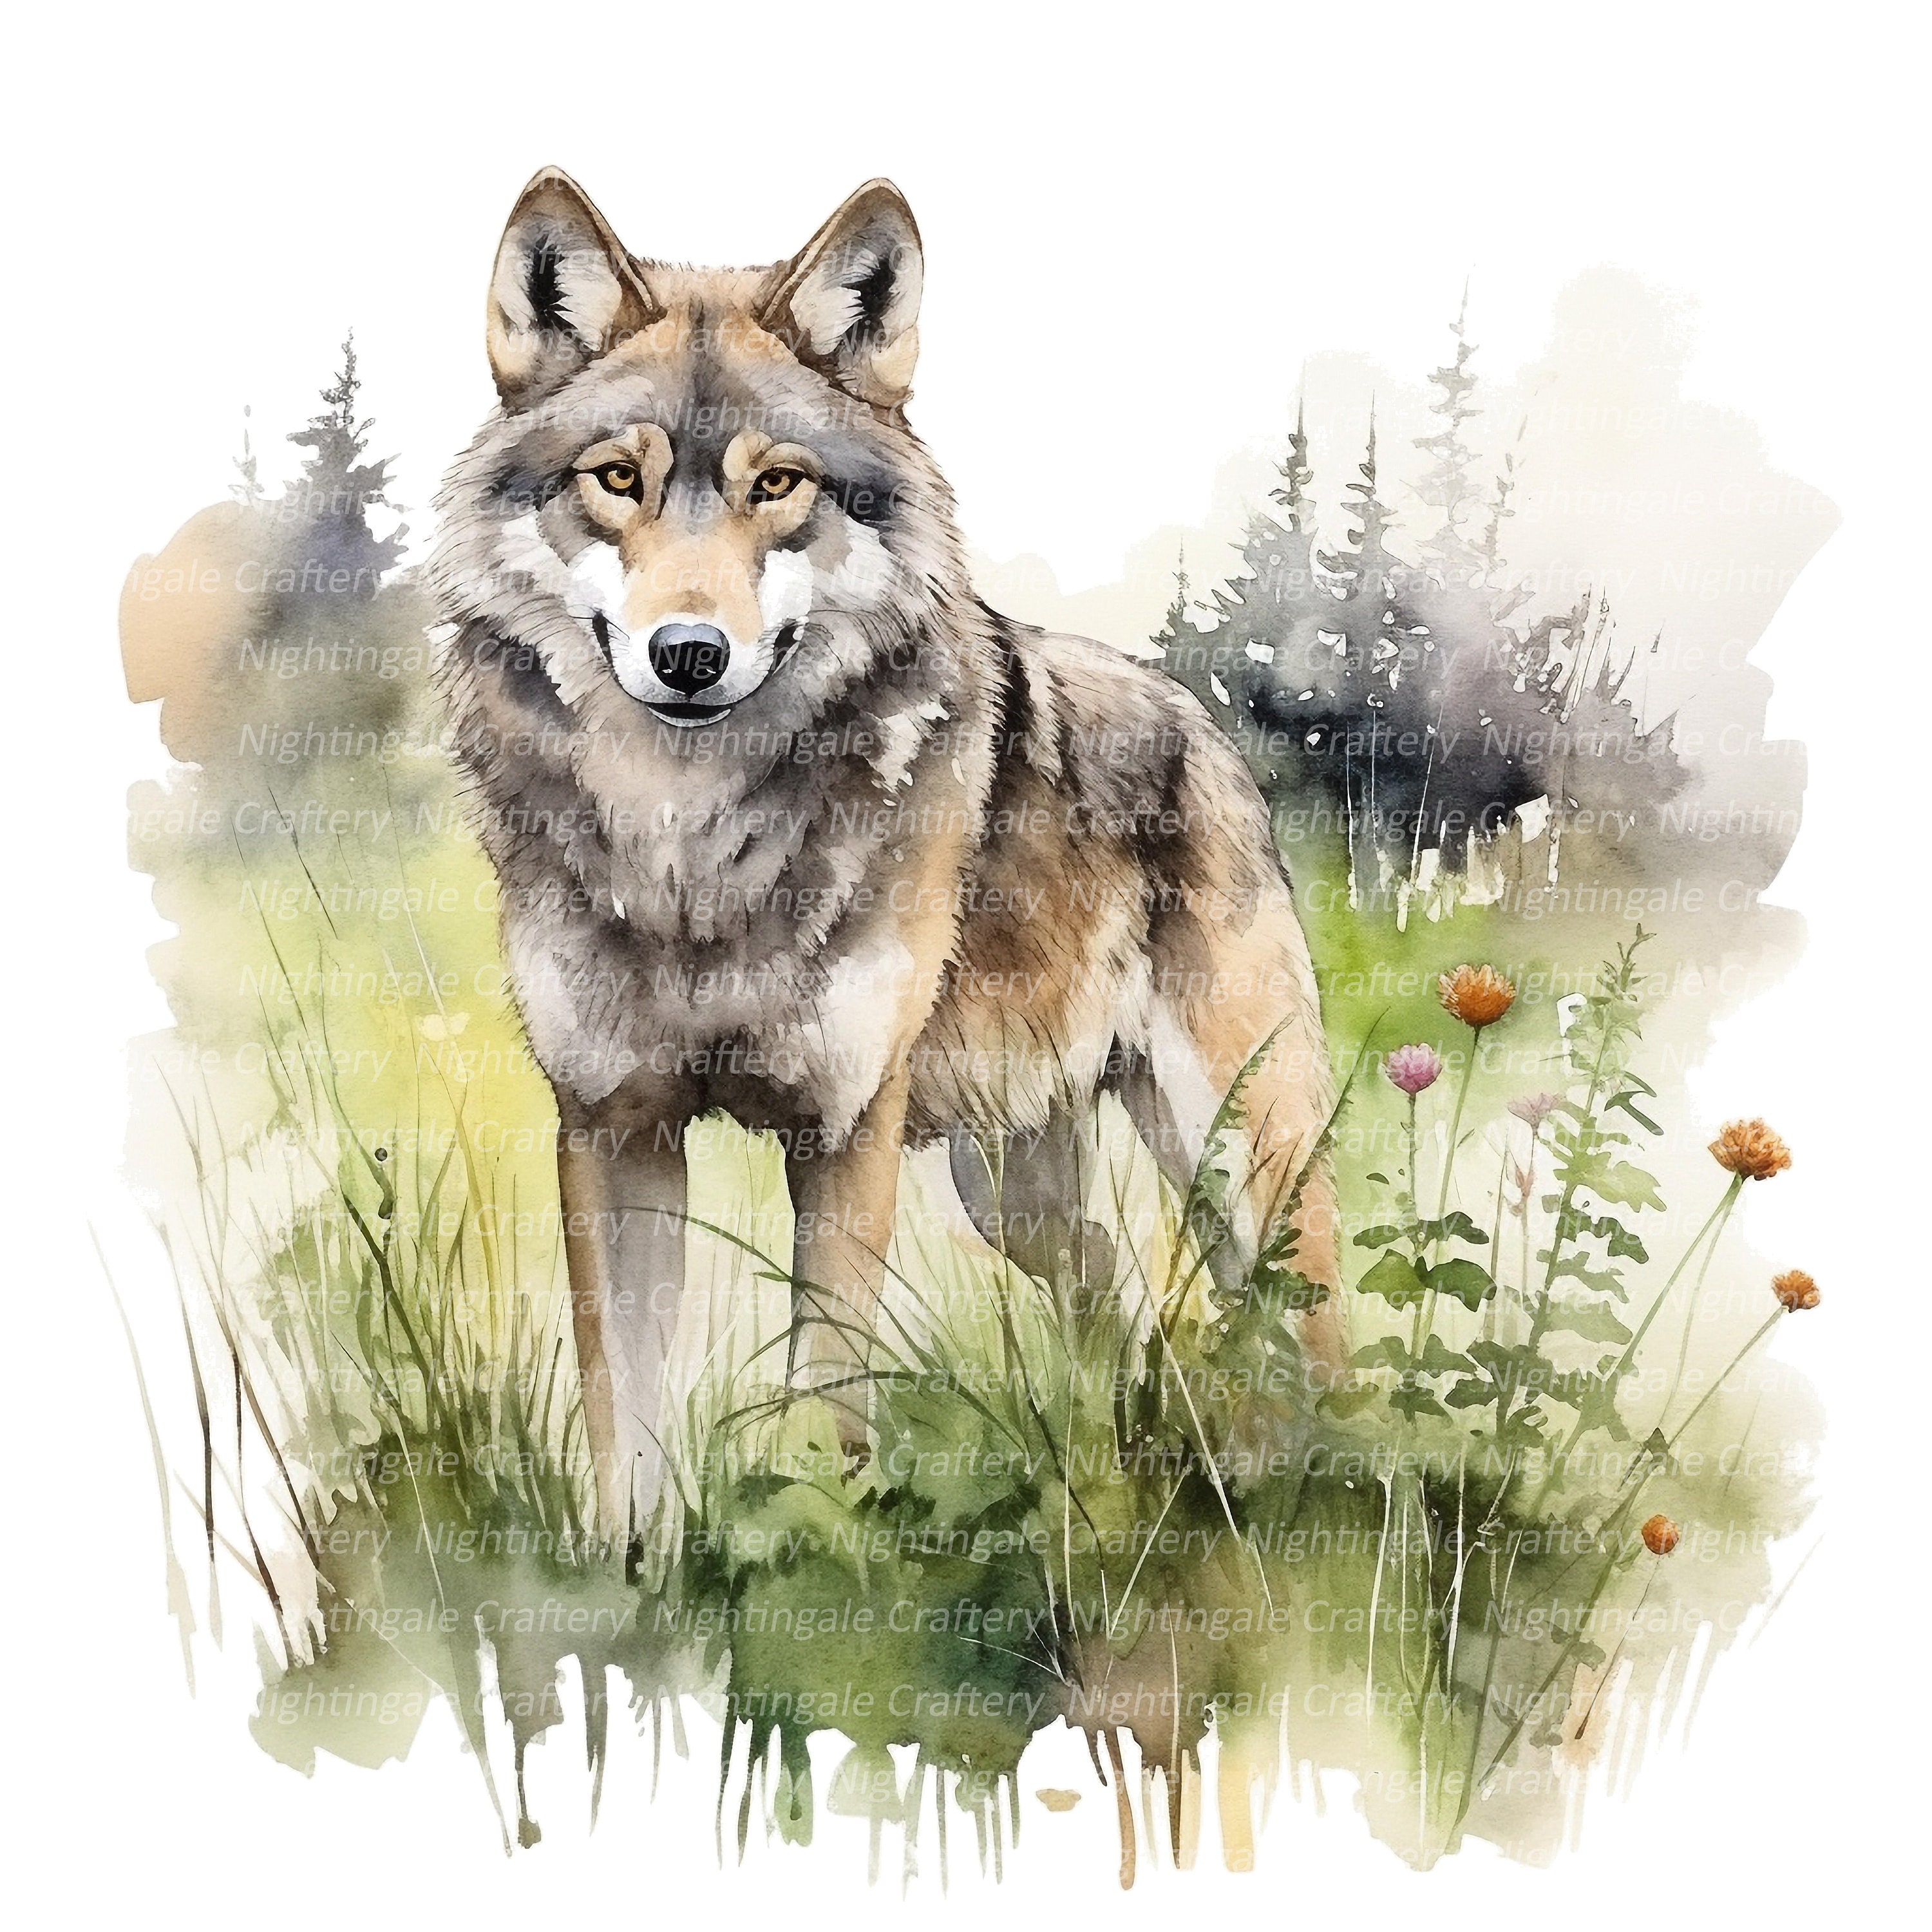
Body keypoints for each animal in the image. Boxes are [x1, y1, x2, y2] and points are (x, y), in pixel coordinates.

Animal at [432, 169, 1346, 1534]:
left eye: (778, 486)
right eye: (617, 478)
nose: (689, 655)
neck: (694, 856)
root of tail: (1201, 722)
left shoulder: (845, 1134)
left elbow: (824, 1393)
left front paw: (815, 1544)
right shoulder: (609, 1131)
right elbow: (625, 1422)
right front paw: (632, 1576)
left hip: (1240, 1156)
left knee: (1319, 1328)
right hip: (1012, 1192)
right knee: (1119, 1292)